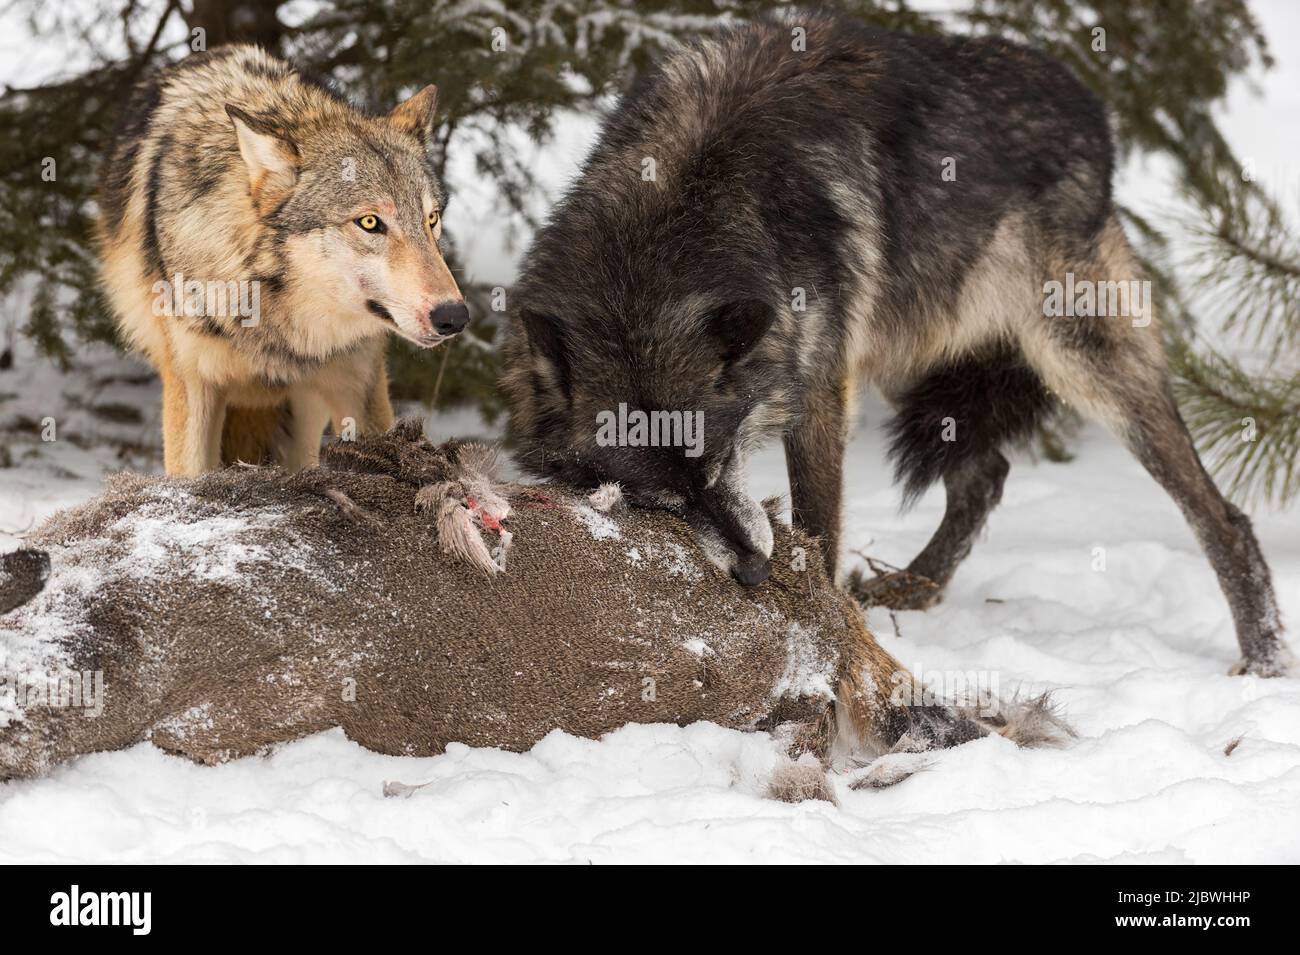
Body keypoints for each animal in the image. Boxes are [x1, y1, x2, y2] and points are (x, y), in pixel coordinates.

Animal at [501, 12, 1291, 676]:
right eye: (663, 500)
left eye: (719, 462)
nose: (753, 571)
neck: (665, 233)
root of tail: (1088, 102)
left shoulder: (820, 393)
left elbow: (819, 524)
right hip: (910, 352)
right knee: (986, 473)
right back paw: (915, 587)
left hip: (1079, 360)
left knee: (1221, 516)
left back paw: (1265, 657)